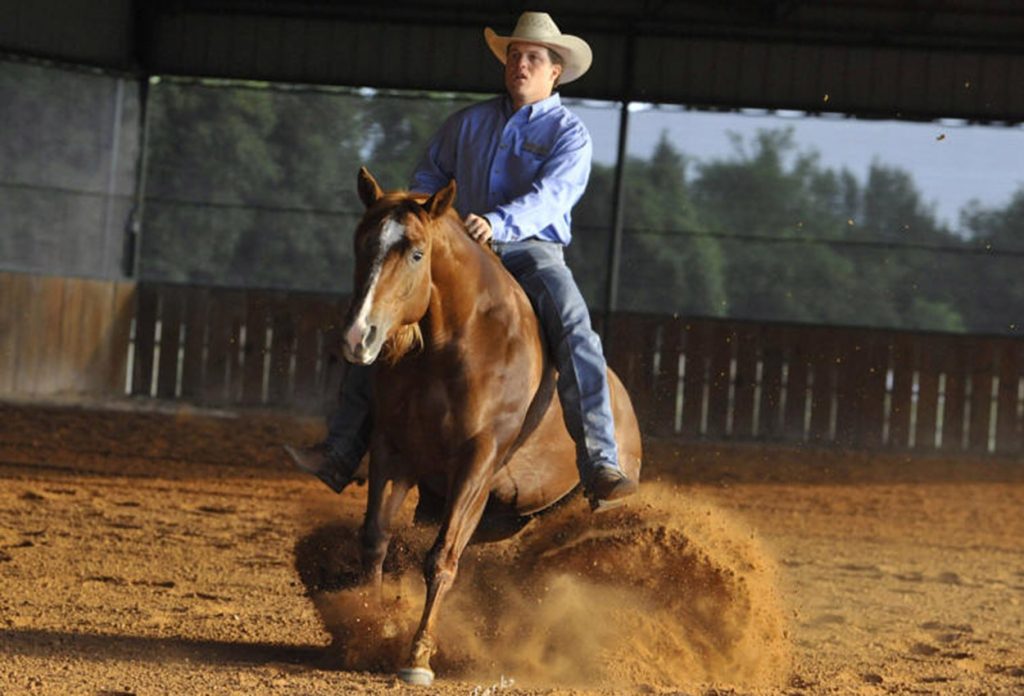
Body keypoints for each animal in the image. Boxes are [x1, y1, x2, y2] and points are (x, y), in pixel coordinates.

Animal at [339, 167, 642, 686]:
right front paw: (369, 630)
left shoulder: (477, 462)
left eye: (416, 253)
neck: (456, 345)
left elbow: (442, 558)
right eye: (362, 244)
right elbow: (375, 540)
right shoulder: (393, 450)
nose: (360, 336)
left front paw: (417, 657)